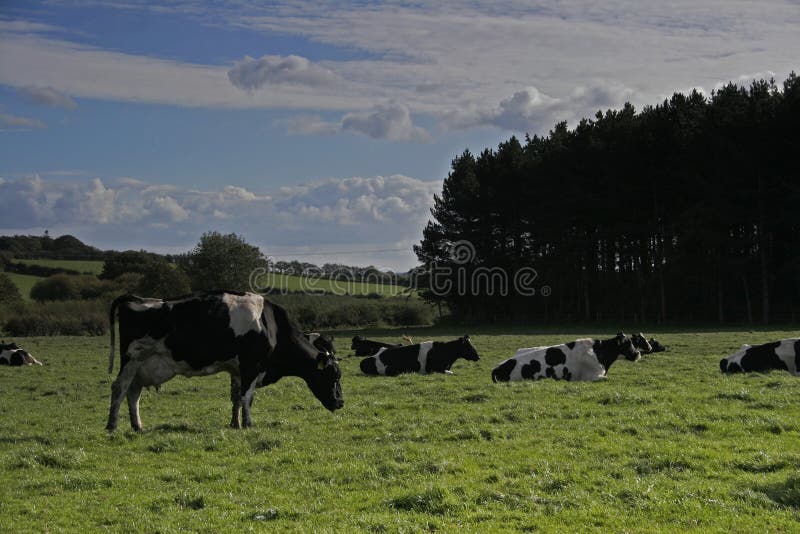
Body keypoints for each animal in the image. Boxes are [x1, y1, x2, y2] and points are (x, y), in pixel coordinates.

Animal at [106, 290, 343, 432]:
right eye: (332, 377)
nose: (340, 403)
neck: (271, 325)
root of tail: (136, 299)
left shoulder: (237, 370)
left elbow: (236, 398)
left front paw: (235, 423)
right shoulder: (251, 366)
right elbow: (247, 397)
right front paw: (248, 424)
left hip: (140, 366)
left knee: (133, 393)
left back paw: (137, 426)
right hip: (132, 358)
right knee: (119, 387)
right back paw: (112, 426)